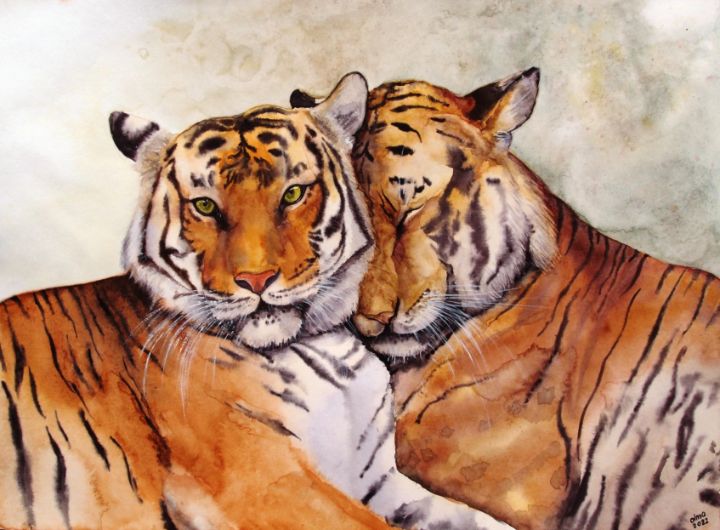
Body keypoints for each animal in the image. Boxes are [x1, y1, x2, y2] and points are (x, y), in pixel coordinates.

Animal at [0, 73, 512, 530]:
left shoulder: (381, 482)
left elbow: (477, 519)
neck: (327, 351)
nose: (256, 278)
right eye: (205, 206)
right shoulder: (266, 479)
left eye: (293, 193)